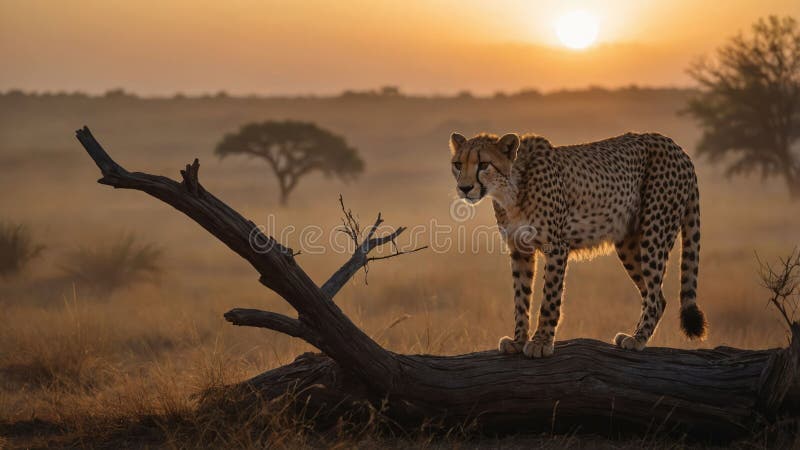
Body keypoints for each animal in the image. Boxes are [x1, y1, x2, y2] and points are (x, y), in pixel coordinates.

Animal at [448, 131, 707, 358]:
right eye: (458, 164)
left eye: (484, 164)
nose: (465, 188)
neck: (511, 188)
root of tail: (677, 147)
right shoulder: (519, 250)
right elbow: (521, 298)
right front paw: (518, 340)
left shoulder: (556, 246)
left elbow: (550, 299)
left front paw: (541, 342)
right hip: (628, 243)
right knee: (658, 296)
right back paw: (636, 334)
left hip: (654, 234)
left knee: (655, 296)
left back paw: (638, 339)